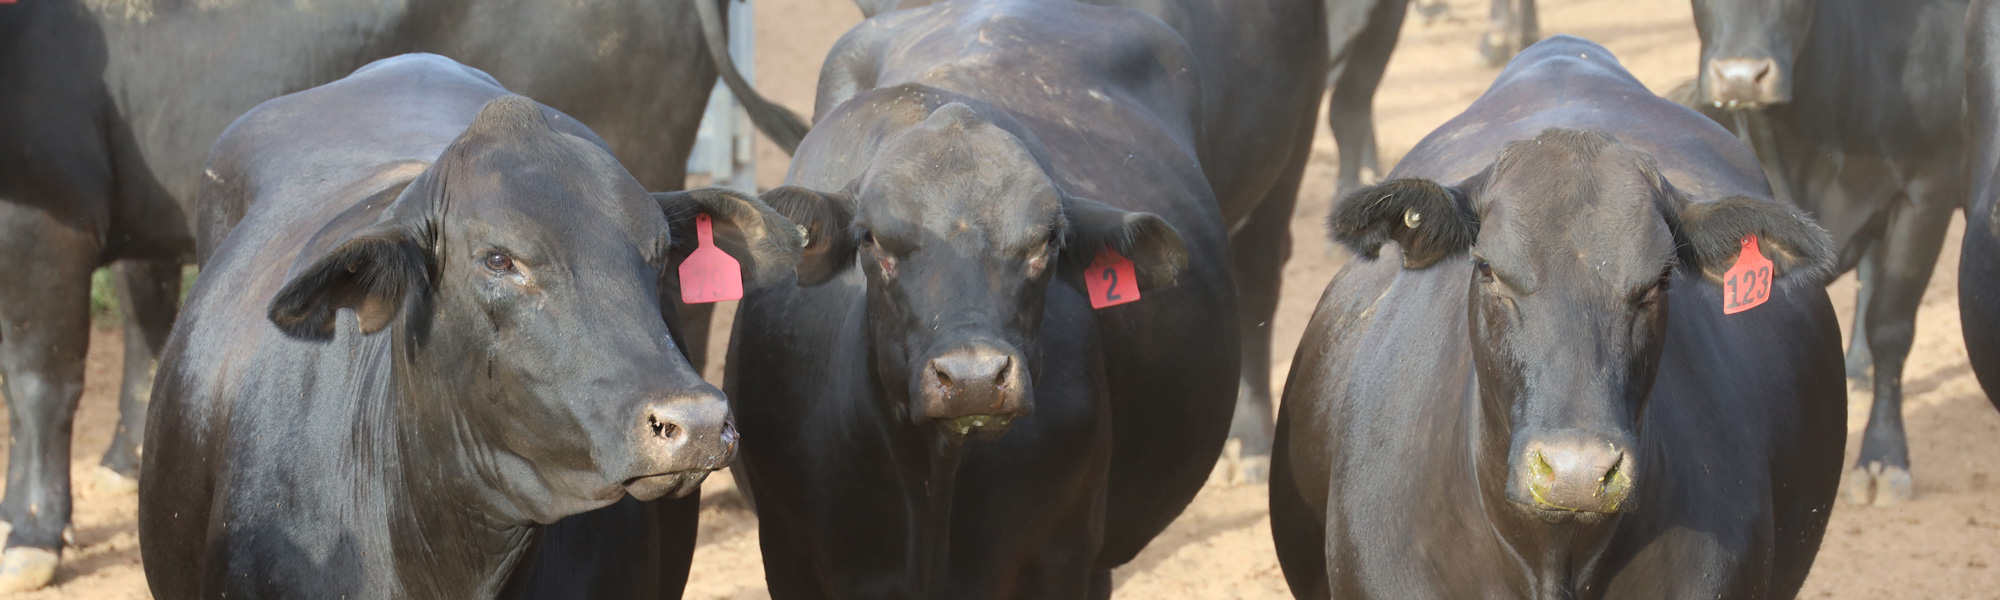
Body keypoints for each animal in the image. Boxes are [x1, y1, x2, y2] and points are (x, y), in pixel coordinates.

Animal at [725, 0, 1239, 596]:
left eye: (1048, 240)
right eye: (872, 239)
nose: (973, 379)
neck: (934, 476)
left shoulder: (1062, 552)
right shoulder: (792, 551)